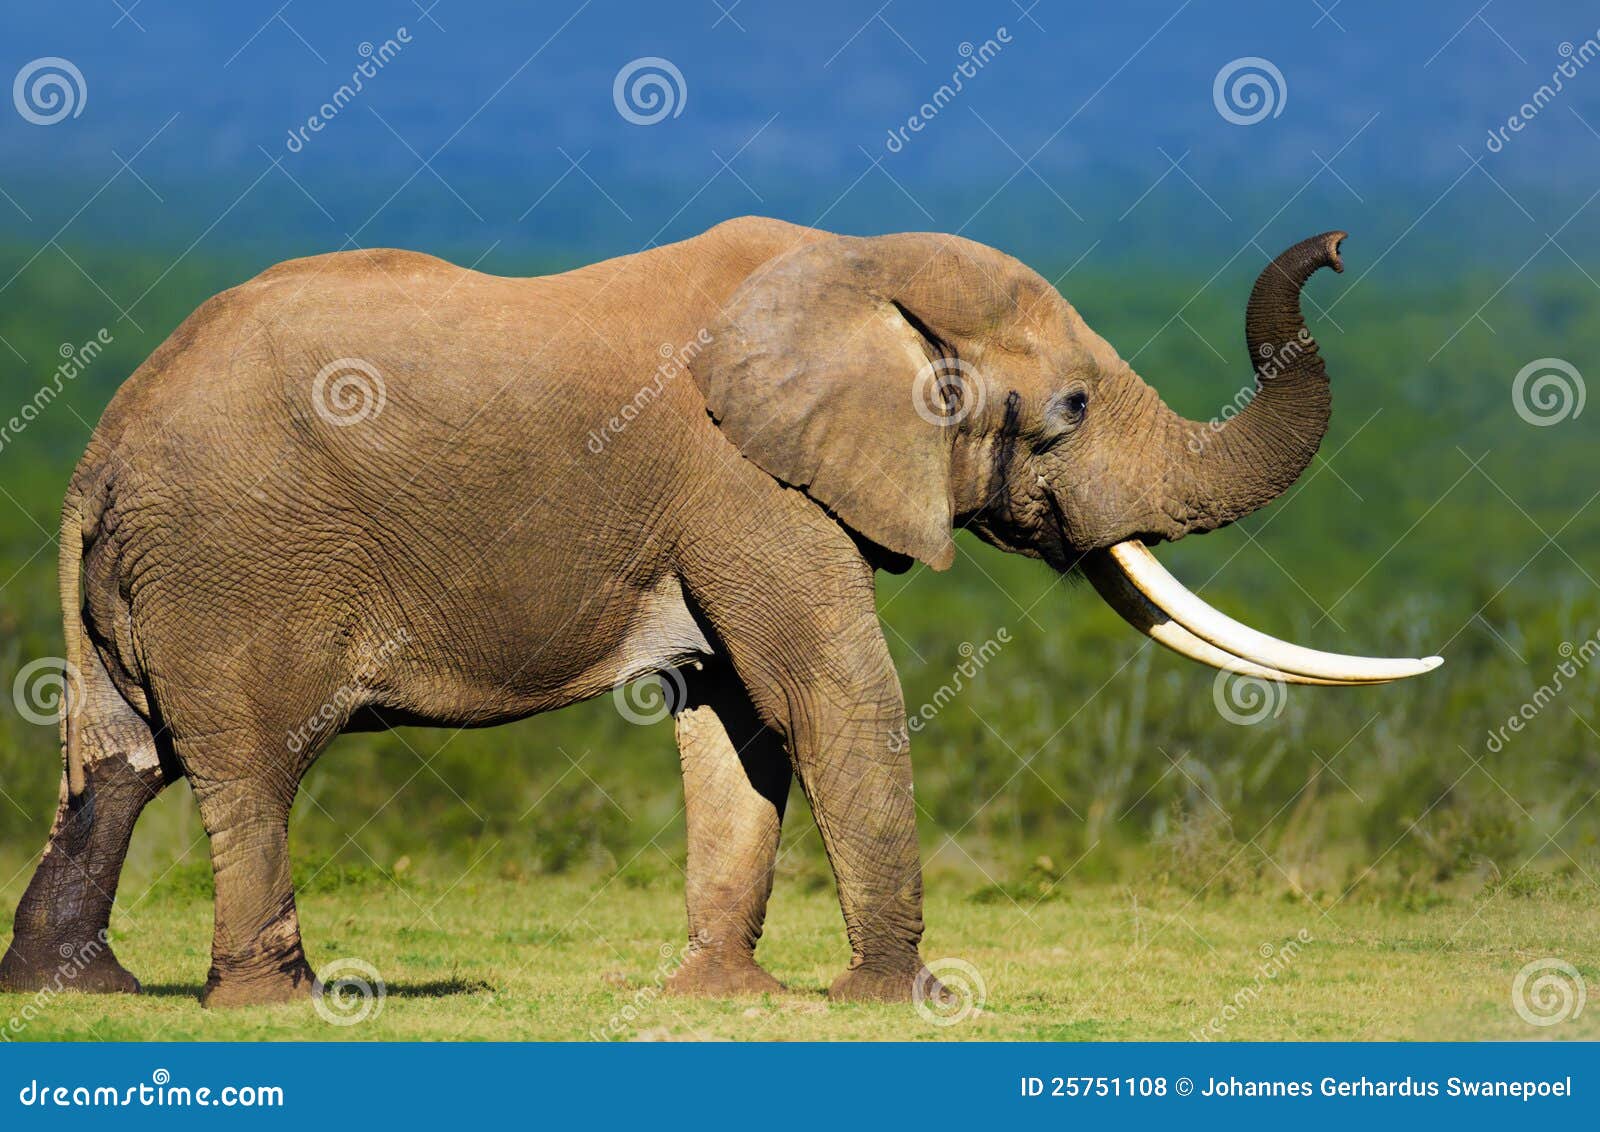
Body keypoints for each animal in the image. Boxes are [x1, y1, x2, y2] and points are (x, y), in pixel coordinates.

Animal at [0, 216, 1439, 1008]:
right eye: (1072, 408)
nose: (1338, 248)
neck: (854, 270)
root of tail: (98, 452)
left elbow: (735, 721)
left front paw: (724, 997)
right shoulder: (746, 478)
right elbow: (830, 688)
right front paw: (903, 999)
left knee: (117, 765)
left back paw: (80, 990)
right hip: (237, 562)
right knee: (249, 763)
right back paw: (280, 1001)